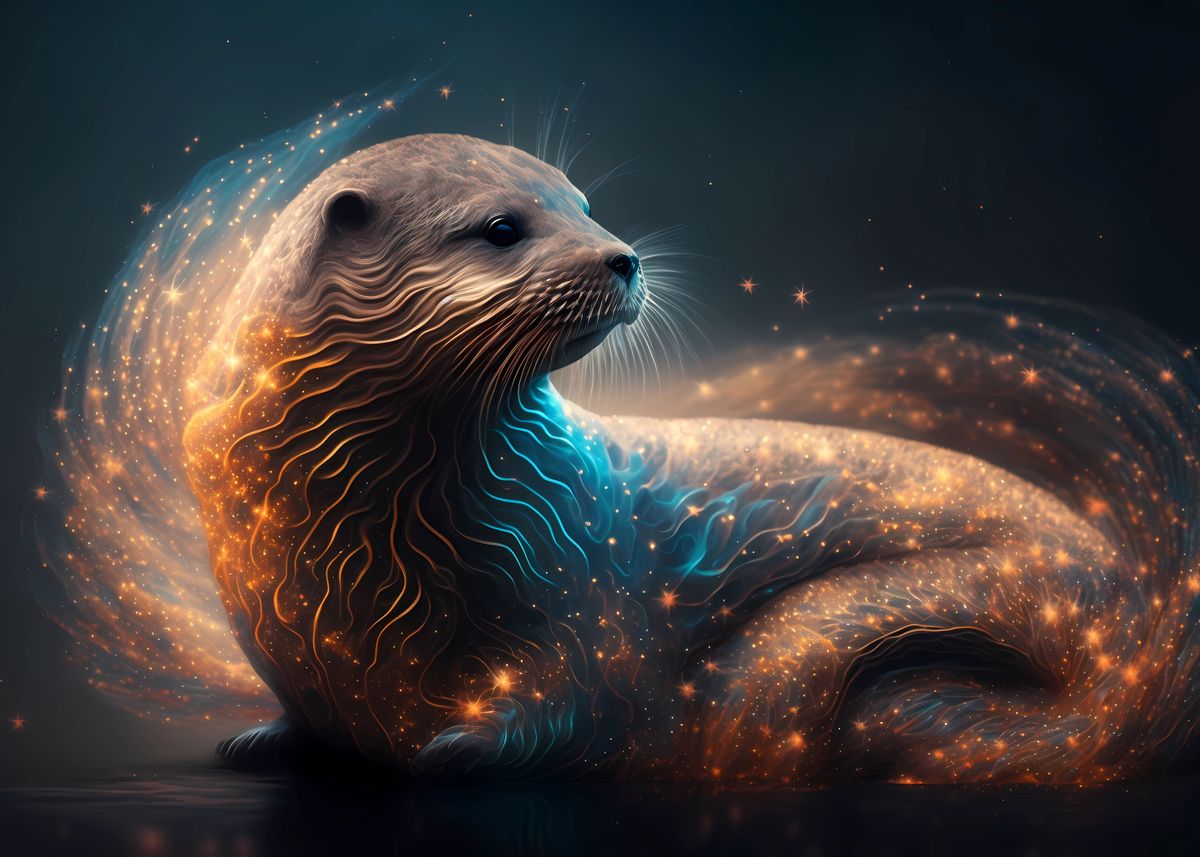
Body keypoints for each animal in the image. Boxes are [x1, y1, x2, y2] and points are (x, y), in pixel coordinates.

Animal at [171, 133, 1196, 782]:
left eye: (586, 206)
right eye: (502, 227)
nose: (623, 257)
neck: (377, 551)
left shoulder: (577, 583)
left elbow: (574, 700)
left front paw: (451, 751)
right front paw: (260, 737)